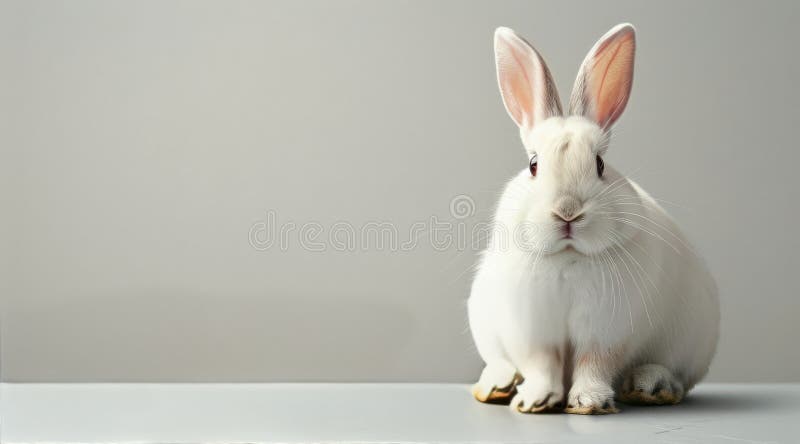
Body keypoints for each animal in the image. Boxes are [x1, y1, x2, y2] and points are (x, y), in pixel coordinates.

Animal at [468, 24, 719, 415]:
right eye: (533, 165)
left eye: (600, 164)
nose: (568, 212)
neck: (569, 257)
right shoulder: (534, 330)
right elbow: (541, 365)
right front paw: (536, 400)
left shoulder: (607, 330)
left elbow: (594, 363)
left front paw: (588, 402)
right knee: (501, 362)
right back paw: (496, 385)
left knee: (674, 375)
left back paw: (651, 385)